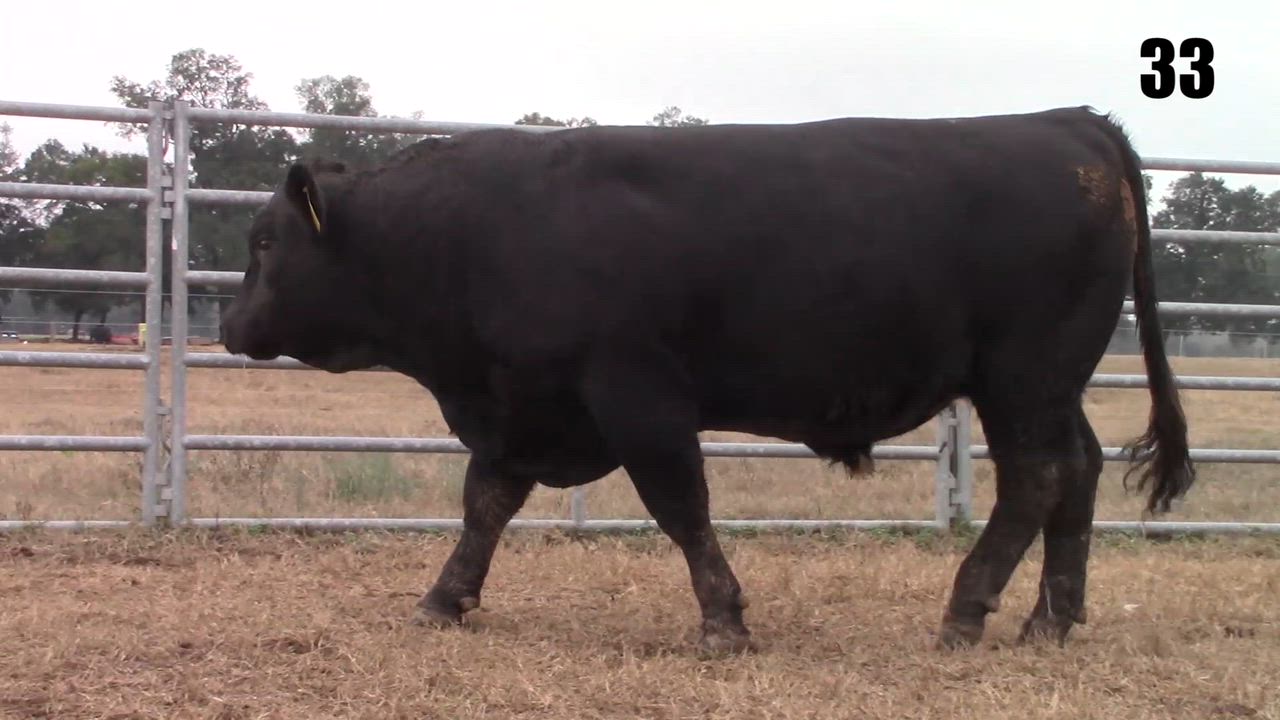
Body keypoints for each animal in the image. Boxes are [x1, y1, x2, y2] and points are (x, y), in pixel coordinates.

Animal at [220, 105, 1195, 652]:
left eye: (265, 241)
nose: (229, 327)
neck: (477, 228)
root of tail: (1070, 121)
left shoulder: (636, 395)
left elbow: (679, 505)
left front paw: (723, 621)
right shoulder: (525, 407)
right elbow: (484, 506)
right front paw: (443, 599)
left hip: (1021, 376)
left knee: (1036, 478)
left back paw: (967, 611)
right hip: (1051, 385)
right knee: (1079, 472)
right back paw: (1050, 621)